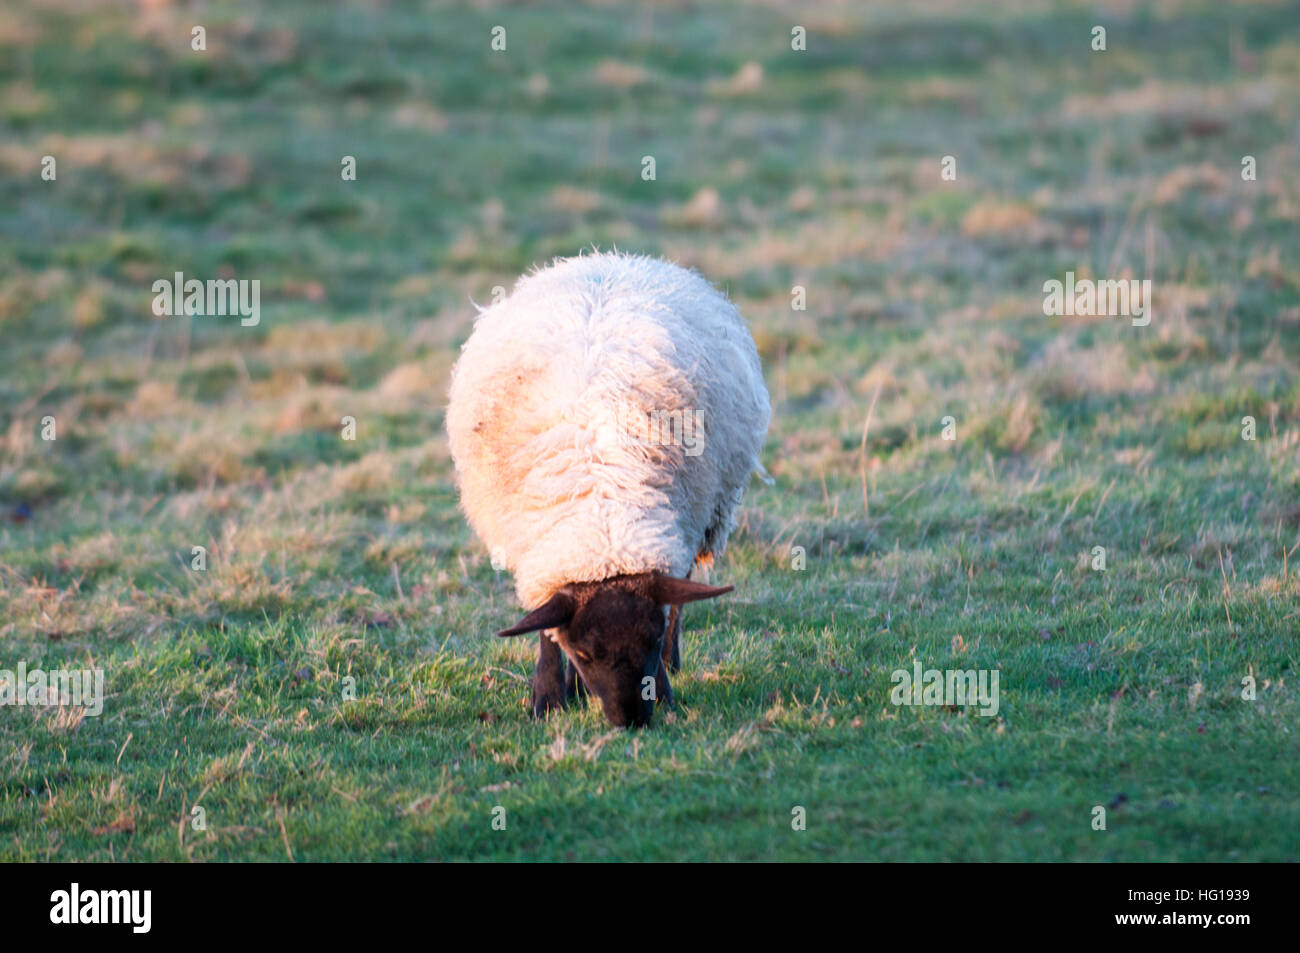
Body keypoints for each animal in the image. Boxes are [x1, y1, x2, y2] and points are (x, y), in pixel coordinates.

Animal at [446, 251, 770, 727]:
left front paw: (664, 687)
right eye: (583, 653)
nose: (630, 720)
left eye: (651, 640)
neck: (602, 510)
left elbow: (669, 607)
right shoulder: (540, 550)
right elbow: (546, 627)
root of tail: (614, 259)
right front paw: (549, 698)